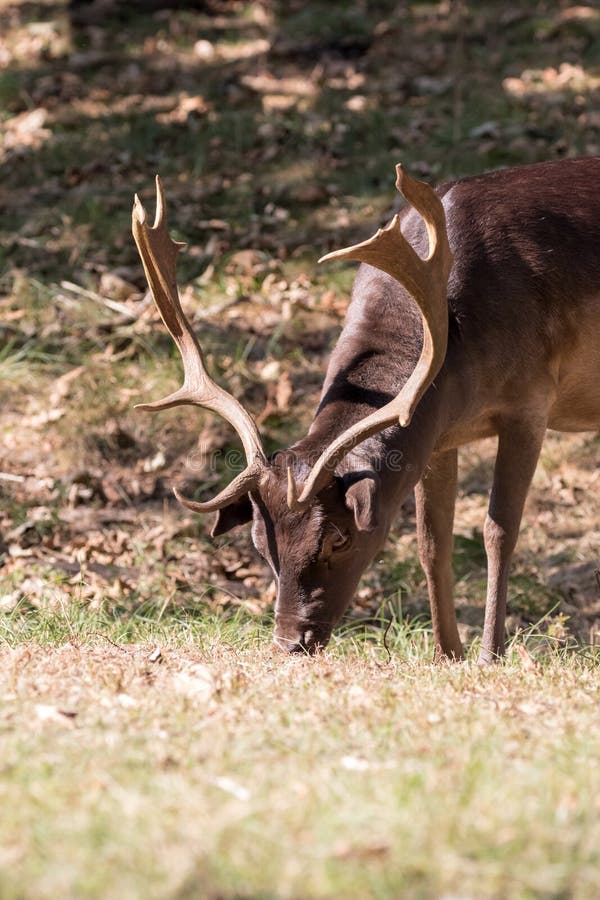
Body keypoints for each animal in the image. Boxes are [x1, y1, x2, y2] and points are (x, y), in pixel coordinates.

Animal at [132, 157, 600, 664]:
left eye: (340, 538)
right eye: (259, 543)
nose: (290, 643)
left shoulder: (530, 402)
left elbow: (499, 531)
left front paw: (489, 656)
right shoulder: (440, 435)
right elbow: (432, 541)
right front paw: (447, 655)